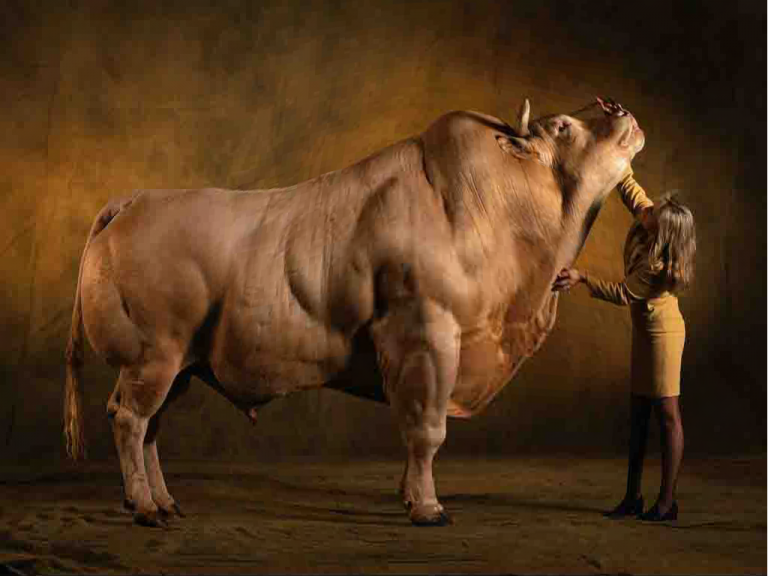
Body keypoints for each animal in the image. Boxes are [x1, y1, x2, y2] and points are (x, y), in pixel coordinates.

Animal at [64, 97, 644, 527]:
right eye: (564, 125)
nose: (621, 109)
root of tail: (135, 199)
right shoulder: (427, 335)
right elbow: (426, 428)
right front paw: (427, 507)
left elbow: (414, 429)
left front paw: (409, 495)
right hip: (152, 356)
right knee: (130, 419)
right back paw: (143, 507)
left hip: (179, 364)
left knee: (151, 427)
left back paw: (164, 501)